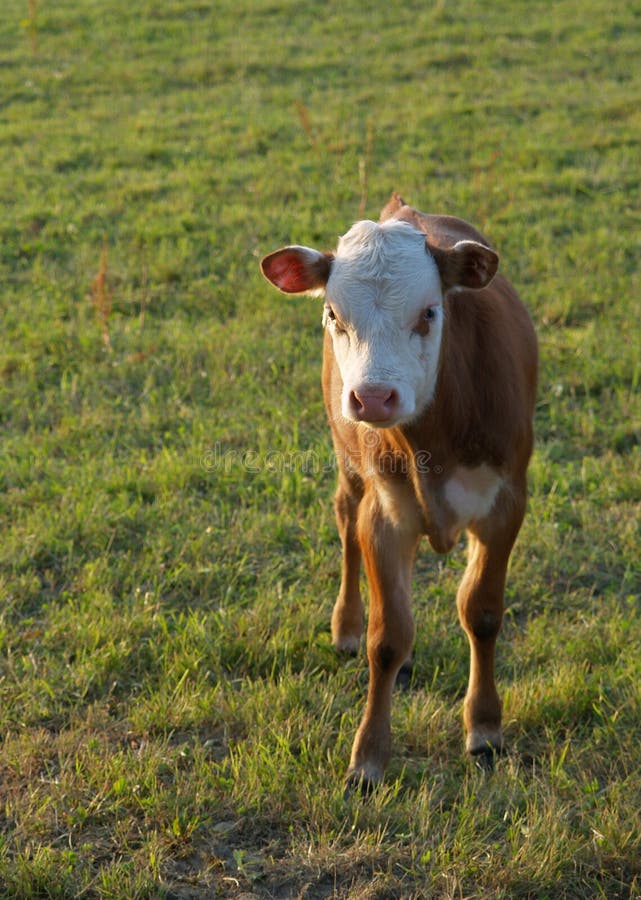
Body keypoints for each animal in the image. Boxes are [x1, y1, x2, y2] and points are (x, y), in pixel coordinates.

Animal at [260, 193, 538, 791]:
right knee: (345, 519)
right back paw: (346, 626)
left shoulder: (505, 504)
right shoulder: (384, 514)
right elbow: (386, 639)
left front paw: (484, 728)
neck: (434, 438)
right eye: (334, 315)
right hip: (348, 460)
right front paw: (368, 757)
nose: (373, 397)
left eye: (429, 313)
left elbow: (481, 611)